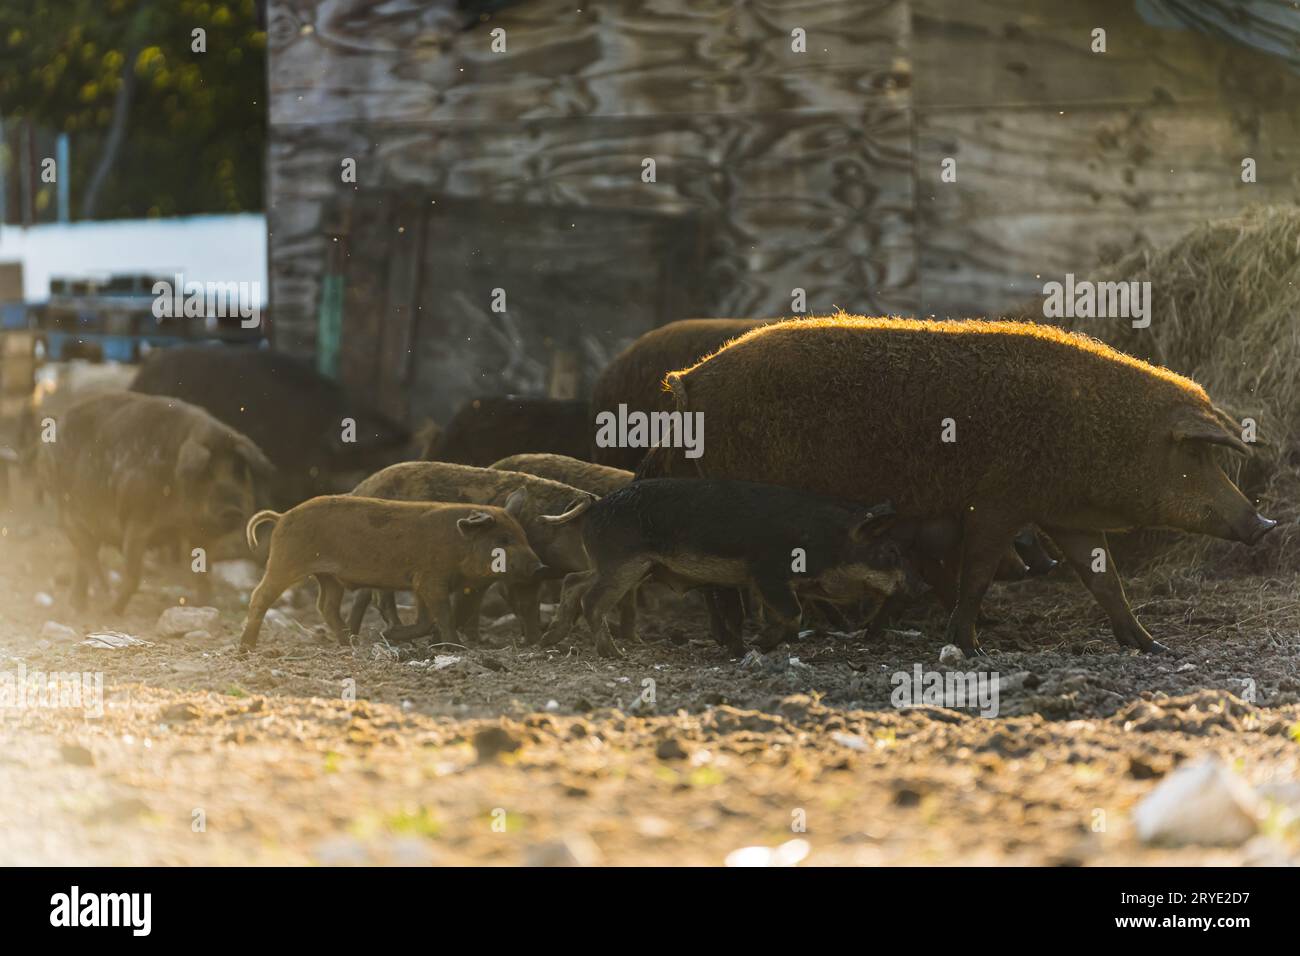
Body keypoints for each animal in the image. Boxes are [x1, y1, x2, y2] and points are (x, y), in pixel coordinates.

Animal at [38, 392, 274, 612]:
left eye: (238, 470)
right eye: (206, 472)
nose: (232, 509)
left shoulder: (202, 536)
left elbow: (204, 578)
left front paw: (204, 607)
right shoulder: (136, 520)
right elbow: (133, 575)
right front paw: (111, 611)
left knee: (83, 559)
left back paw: (79, 606)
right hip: (66, 510)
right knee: (87, 556)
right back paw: (96, 602)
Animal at [239, 497, 542, 650]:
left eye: (523, 535)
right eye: (503, 539)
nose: (540, 567)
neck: (457, 545)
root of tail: (281, 516)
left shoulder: (420, 584)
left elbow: (425, 620)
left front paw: (390, 634)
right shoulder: (431, 579)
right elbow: (443, 616)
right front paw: (457, 649)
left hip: (329, 577)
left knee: (325, 605)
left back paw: (350, 644)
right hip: (284, 562)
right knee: (260, 595)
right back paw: (247, 648)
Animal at [348, 462, 597, 643]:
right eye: (585, 536)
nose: (539, 567)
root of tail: (359, 488)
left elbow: (524, 605)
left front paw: (533, 641)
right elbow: (517, 604)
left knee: (366, 596)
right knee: (379, 598)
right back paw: (387, 634)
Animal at [541, 478, 904, 657]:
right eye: (889, 551)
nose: (908, 586)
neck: (827, 541)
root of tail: (595, 504)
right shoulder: (767, 572)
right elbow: (792, 612)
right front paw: (758, 644)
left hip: (623, 566)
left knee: (573, 581)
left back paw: (549, 640)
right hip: (622, 564)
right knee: (591, 599)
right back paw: (614, 655)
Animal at [657, 315, 1276, 656]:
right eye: (1195, 453)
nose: (1265, 522)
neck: (1097, 433)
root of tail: (690, 378)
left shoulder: (1062, 515)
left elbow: (1106, 581)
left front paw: (1153, 646)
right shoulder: (999, 500)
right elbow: (975, 576)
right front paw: (968, 648)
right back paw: (752, 643)